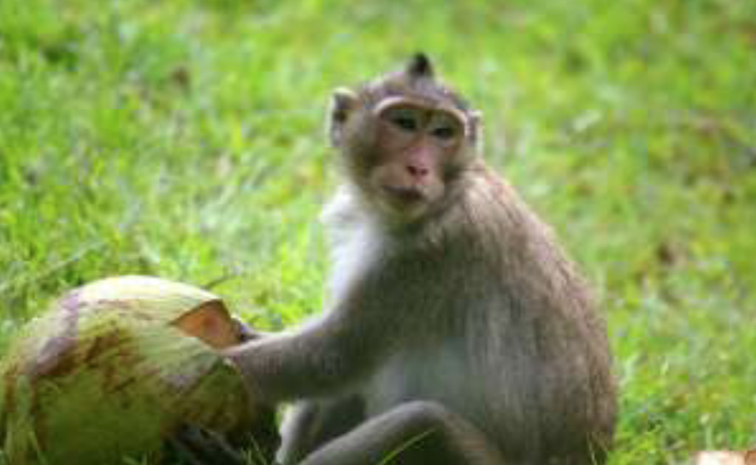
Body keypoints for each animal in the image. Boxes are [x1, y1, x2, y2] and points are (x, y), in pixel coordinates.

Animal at [176, 53, 617, 465]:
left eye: (443, 133)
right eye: (404, 123)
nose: (418, 167)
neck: (448, 195)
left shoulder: (432, 255)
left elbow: (335, 353)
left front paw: (197, 371)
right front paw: (247, 334)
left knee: (423, 423)